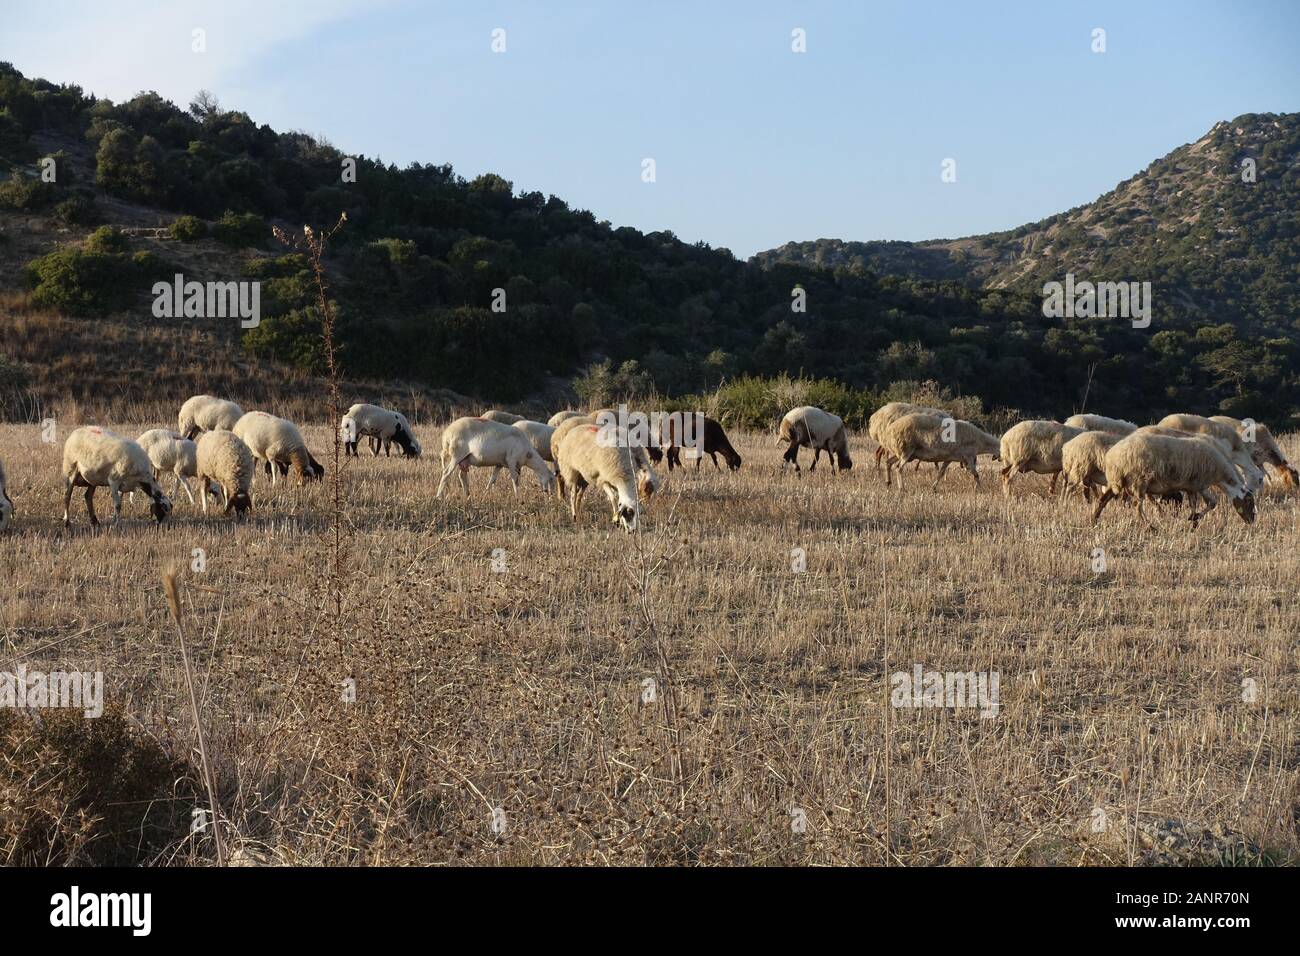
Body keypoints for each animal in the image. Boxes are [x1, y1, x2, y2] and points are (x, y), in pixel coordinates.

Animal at [1092, 431, 1256, 529]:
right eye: (1249, 501)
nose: (1252, 521)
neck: (1220, 472)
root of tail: (1112, 457)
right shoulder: (1198, 484)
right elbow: (1209, 503)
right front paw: (1194, 519)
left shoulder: (1193, 486)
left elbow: (1203, 504)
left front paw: (1193, 521)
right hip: (1138, 481)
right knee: (1137, 507)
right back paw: (1150, 527)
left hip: (1117, 482)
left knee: (1102, 500)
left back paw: (1094, 520)